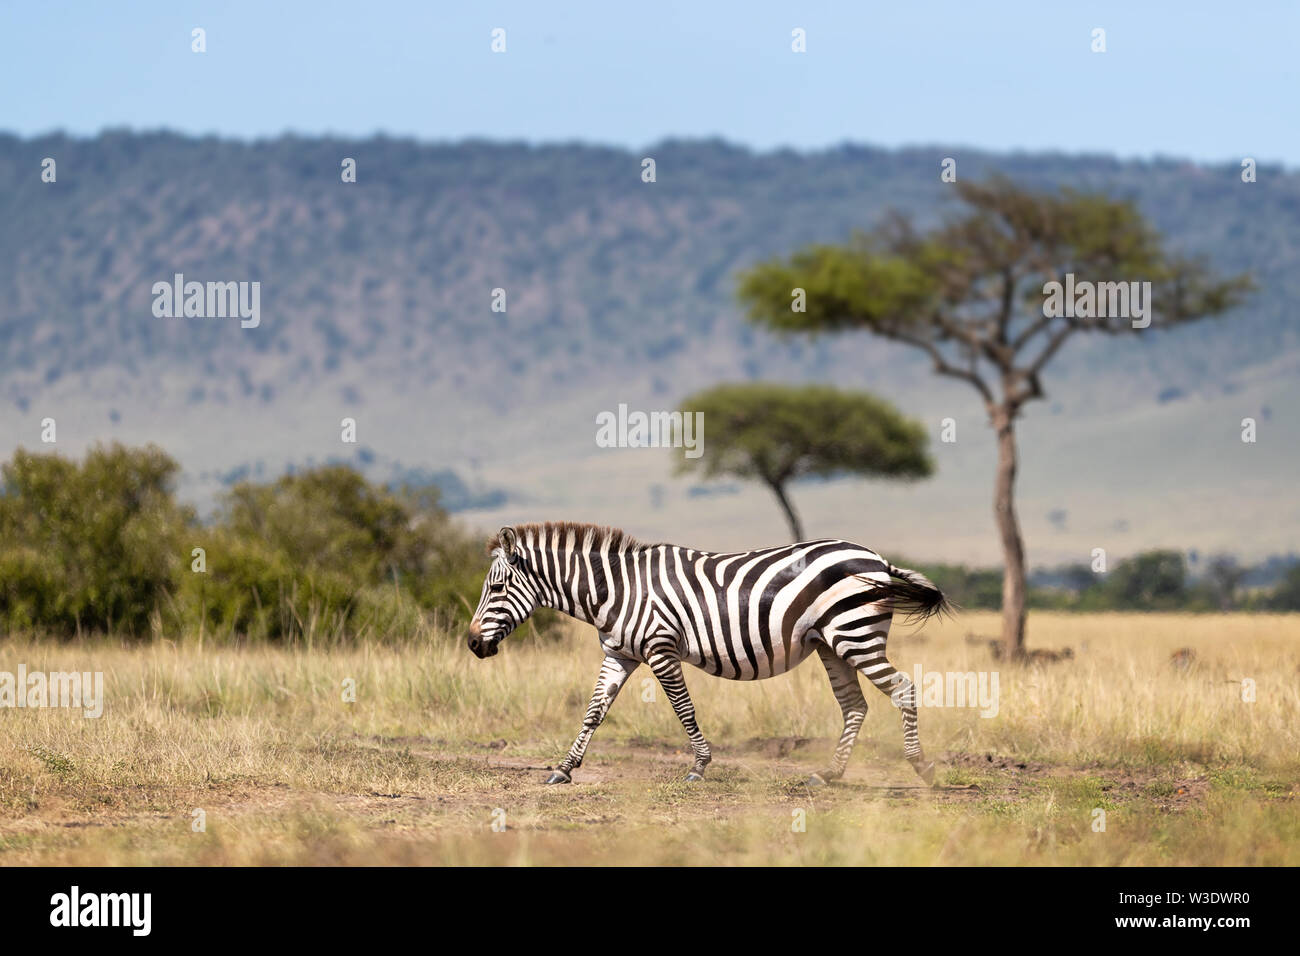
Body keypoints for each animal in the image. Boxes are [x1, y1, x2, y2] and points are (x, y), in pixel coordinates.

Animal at [465, 522, 950, 786]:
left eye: (496, 588)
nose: (471, 644)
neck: (617, 591)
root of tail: (877, 559)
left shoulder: (660, 647)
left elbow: (683, 708)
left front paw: (699, 766)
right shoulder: (620, 654)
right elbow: (594, 712)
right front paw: (564, 769)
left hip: (855, 636)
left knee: (903, 688)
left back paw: (922, 767)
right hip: (831, 643)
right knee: (854, 705)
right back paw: (828, 775)